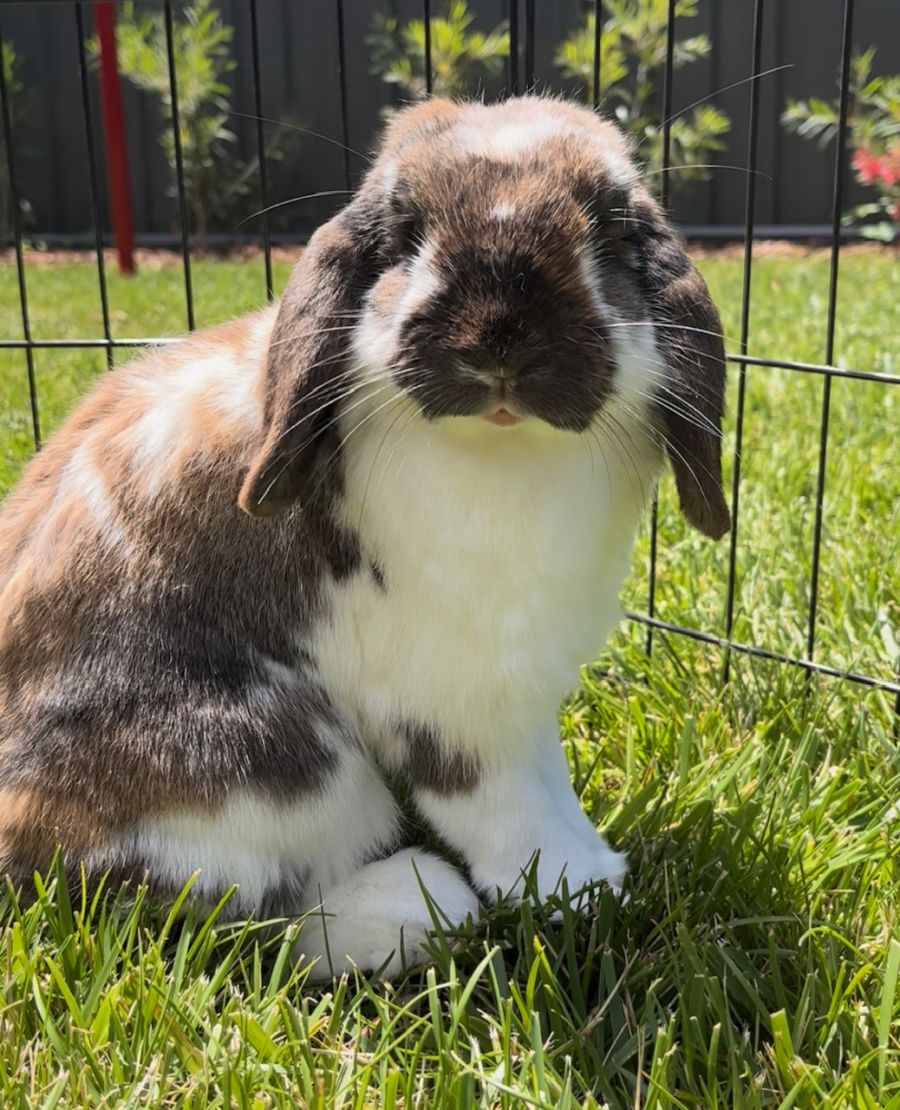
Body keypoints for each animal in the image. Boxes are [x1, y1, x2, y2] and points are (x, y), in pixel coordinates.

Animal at [0, 96, 729, 979]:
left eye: (614, 223)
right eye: (405, 231)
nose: (501, 339)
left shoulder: (522, 688)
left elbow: (547, 781)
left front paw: (594, 869)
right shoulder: (454, 699)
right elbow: (502, 804)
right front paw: (571, 890)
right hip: (261, 754)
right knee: (224, 923)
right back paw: (417, 908)